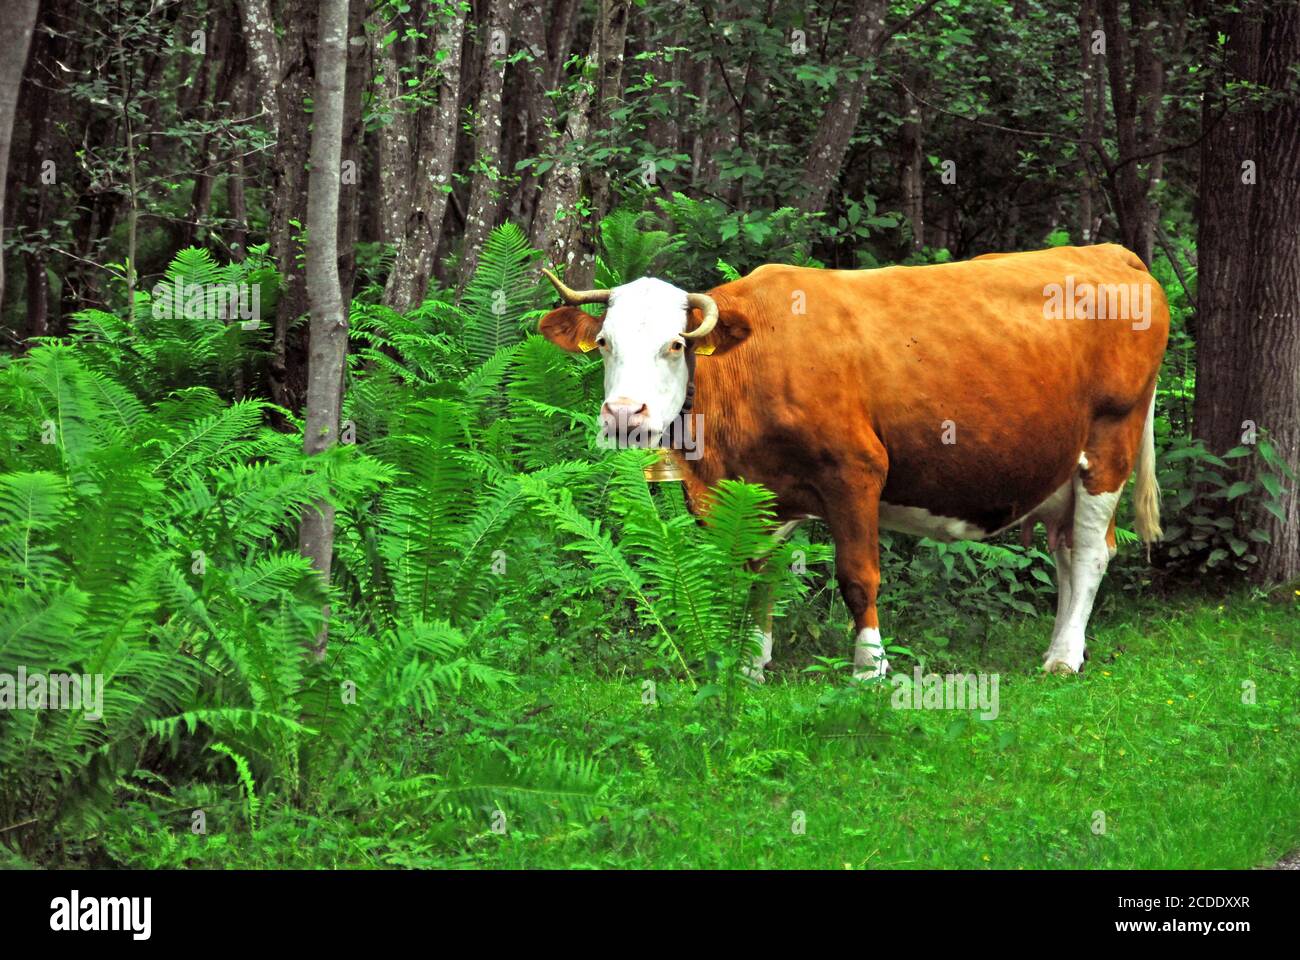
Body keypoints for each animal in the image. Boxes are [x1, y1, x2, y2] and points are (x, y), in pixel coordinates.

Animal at [538, 244, 1169, 680]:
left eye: (675, 344)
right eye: (604, 344)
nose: (624, 415)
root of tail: (1112, 252)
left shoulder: (856, 471)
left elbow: (858, 577)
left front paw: (870, 669)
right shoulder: (760, 493)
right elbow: (760, 577)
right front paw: (750, 664)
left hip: (1109, 445)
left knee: (1091, 553)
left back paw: (1063, 658)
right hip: (1060, 470)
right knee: (1065, 553)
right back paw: (1062, 645)